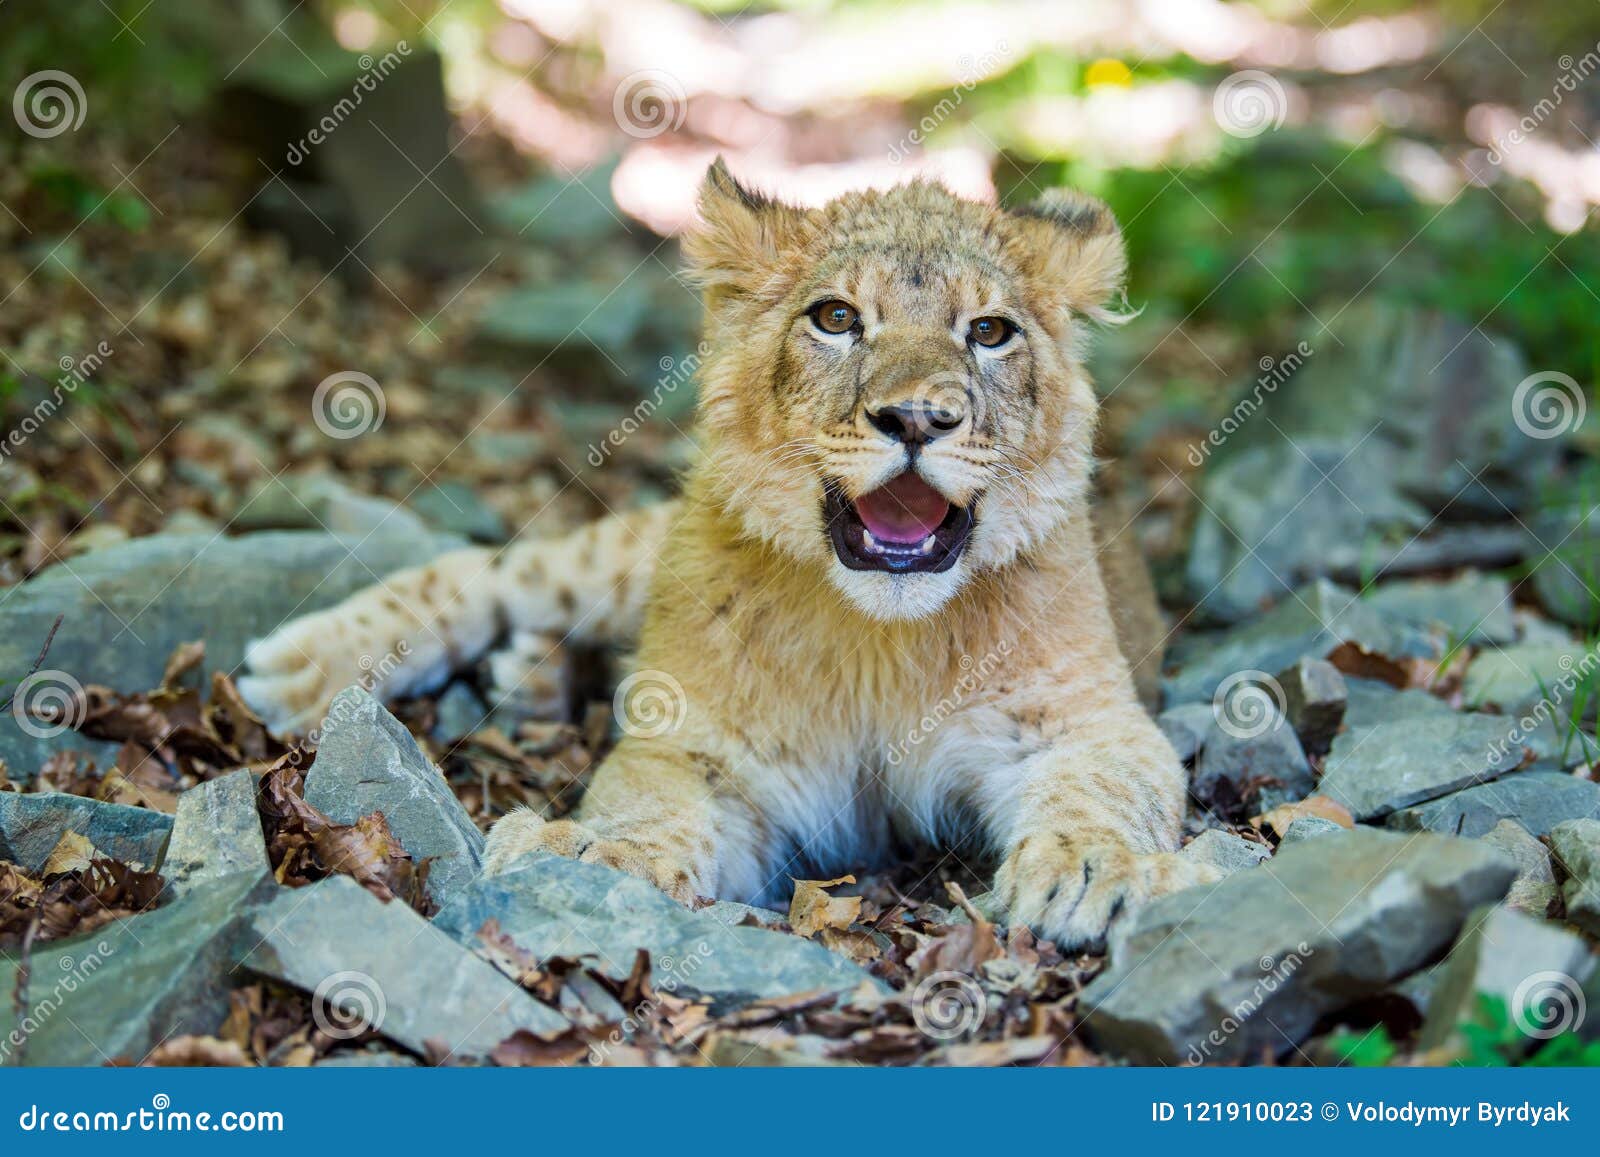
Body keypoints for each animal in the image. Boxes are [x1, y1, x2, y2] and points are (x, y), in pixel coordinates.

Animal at [238, 161, 1213, 951]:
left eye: (990, 331)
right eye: (836, 318)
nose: (916, 418)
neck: (882, 638)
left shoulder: (1085, 716)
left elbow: (1106, 786)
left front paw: (1096, 871)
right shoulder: (704, 747)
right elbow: (650, 801)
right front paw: (590, 848)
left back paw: (534, 673)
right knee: (498, 573)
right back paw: (307, 665)